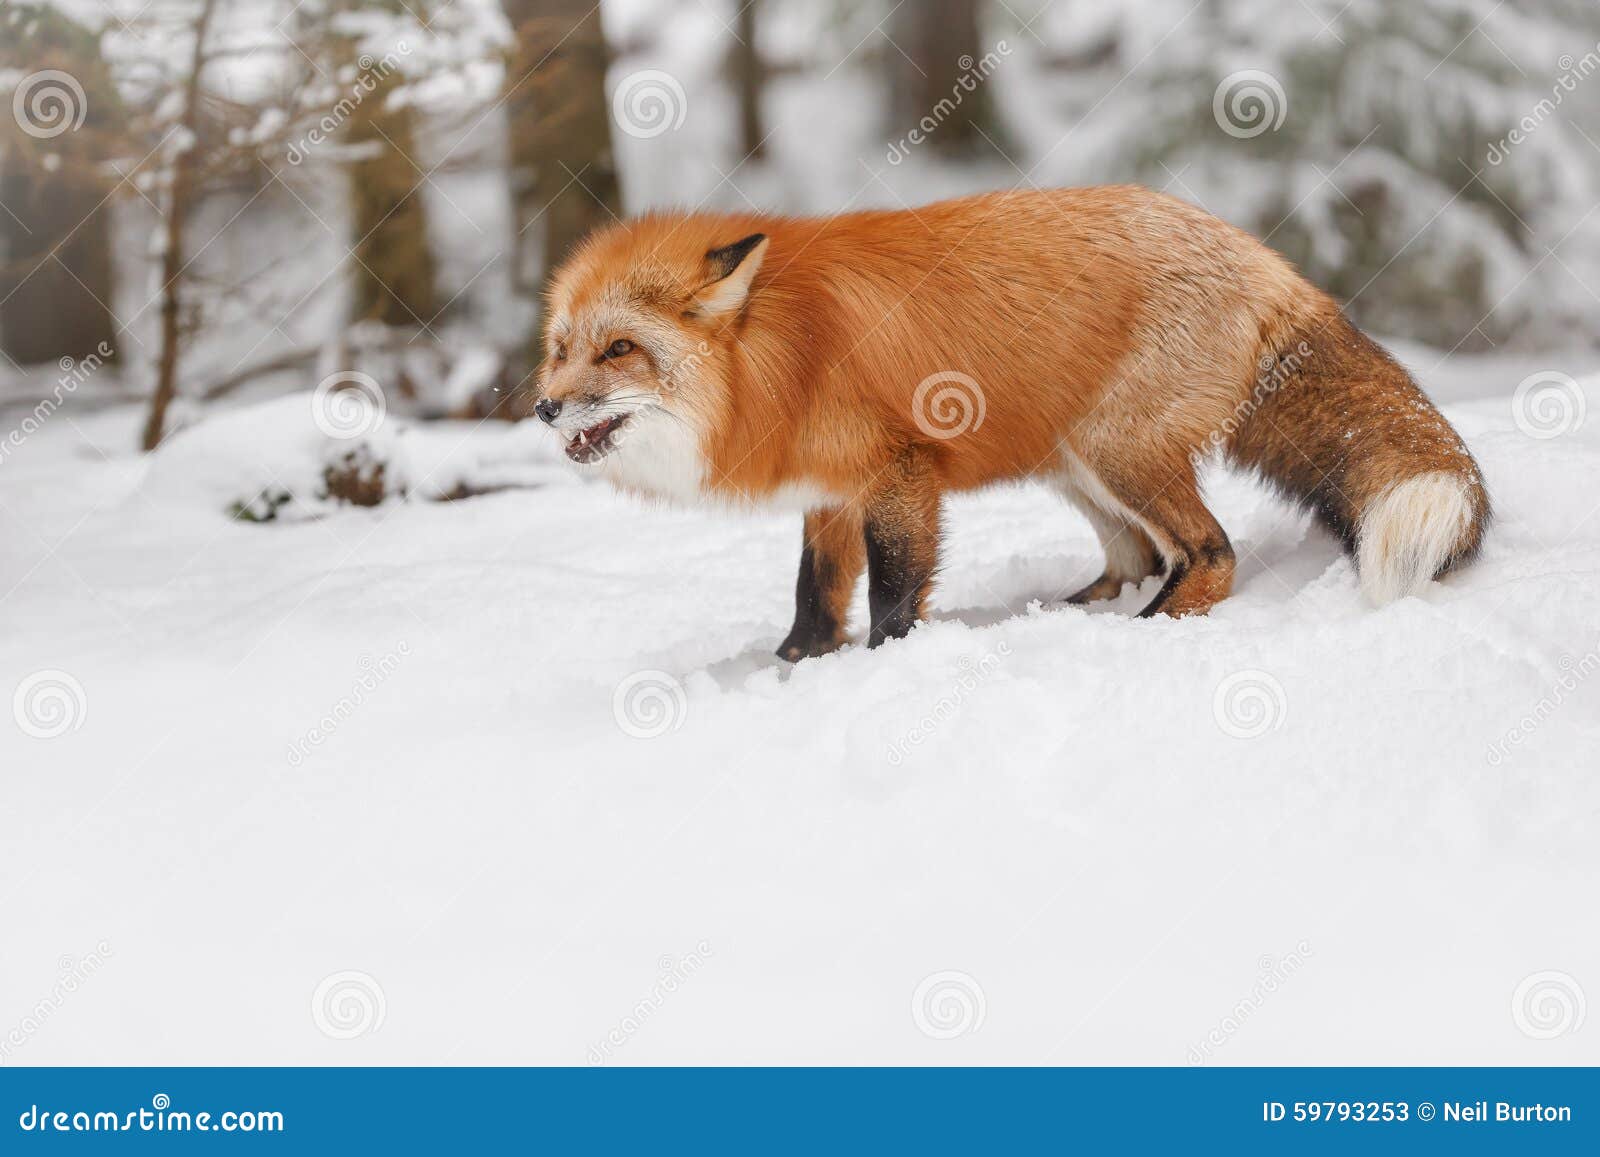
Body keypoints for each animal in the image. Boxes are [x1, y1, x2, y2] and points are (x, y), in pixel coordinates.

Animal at [532, 186, 1489, 660]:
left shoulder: (899, 474)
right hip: (1076, 464)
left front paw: (887, 669)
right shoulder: (830, 489)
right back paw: (1079, 610)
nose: (543, 406)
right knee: (1143, 556)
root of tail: (1263, 257)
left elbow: (891, 598)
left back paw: (1143, 634)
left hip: (1116, 450)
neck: (785, 353)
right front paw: (796, 665)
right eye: (562, 349)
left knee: (1210, 552)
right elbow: (814, 594)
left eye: (620, 349)